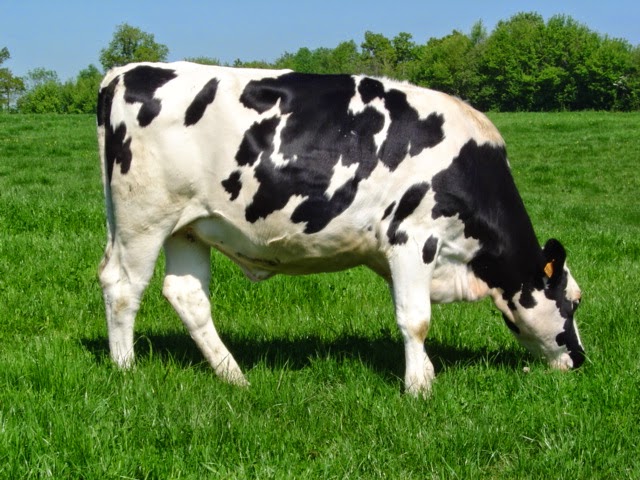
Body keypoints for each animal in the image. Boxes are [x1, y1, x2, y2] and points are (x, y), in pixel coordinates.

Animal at [96, 62, 585, 397]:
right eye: (574, 301)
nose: (580, 360)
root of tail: (126, 71)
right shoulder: (411, 238)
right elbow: (416, 319)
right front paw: (418, 388)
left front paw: (424, 374)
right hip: (144, 218)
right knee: (122, 286)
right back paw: (126, 369)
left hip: (189, 226)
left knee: (186, 295)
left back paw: (234, 376)